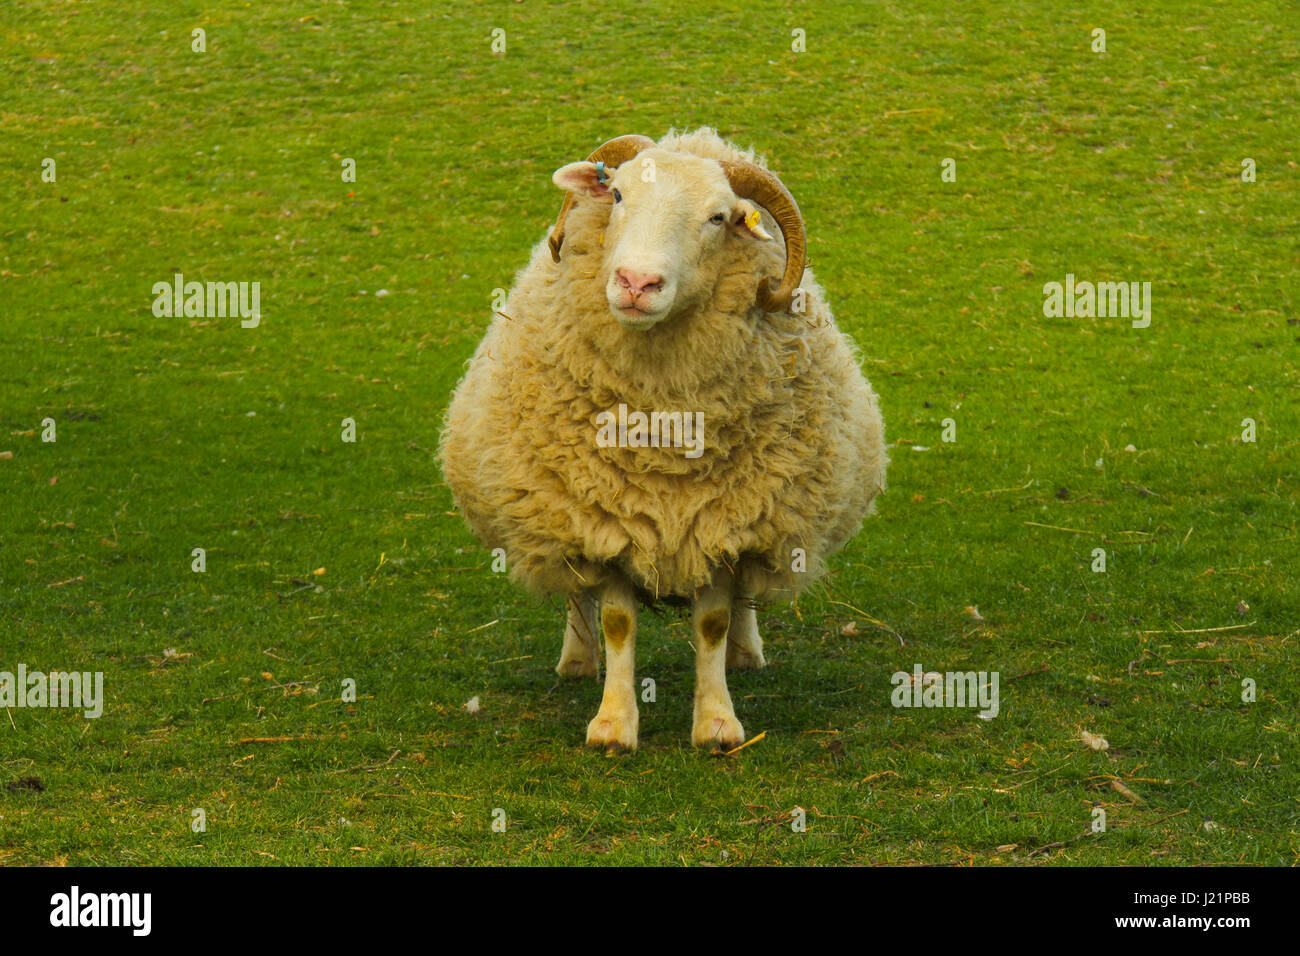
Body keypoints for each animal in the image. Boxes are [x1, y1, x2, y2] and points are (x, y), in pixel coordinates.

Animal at [439, 128, 886, 752]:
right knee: (575, 592)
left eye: (720, 217)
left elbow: (713, 623)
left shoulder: (726, 525)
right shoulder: (602, 521)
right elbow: (617, 622)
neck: (662, 439)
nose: (636, 283)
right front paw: (612, 726)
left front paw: (718, 724)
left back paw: (746, 652)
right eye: (618, 194)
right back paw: (577, 659)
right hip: (552, 510)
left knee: (745, 600)